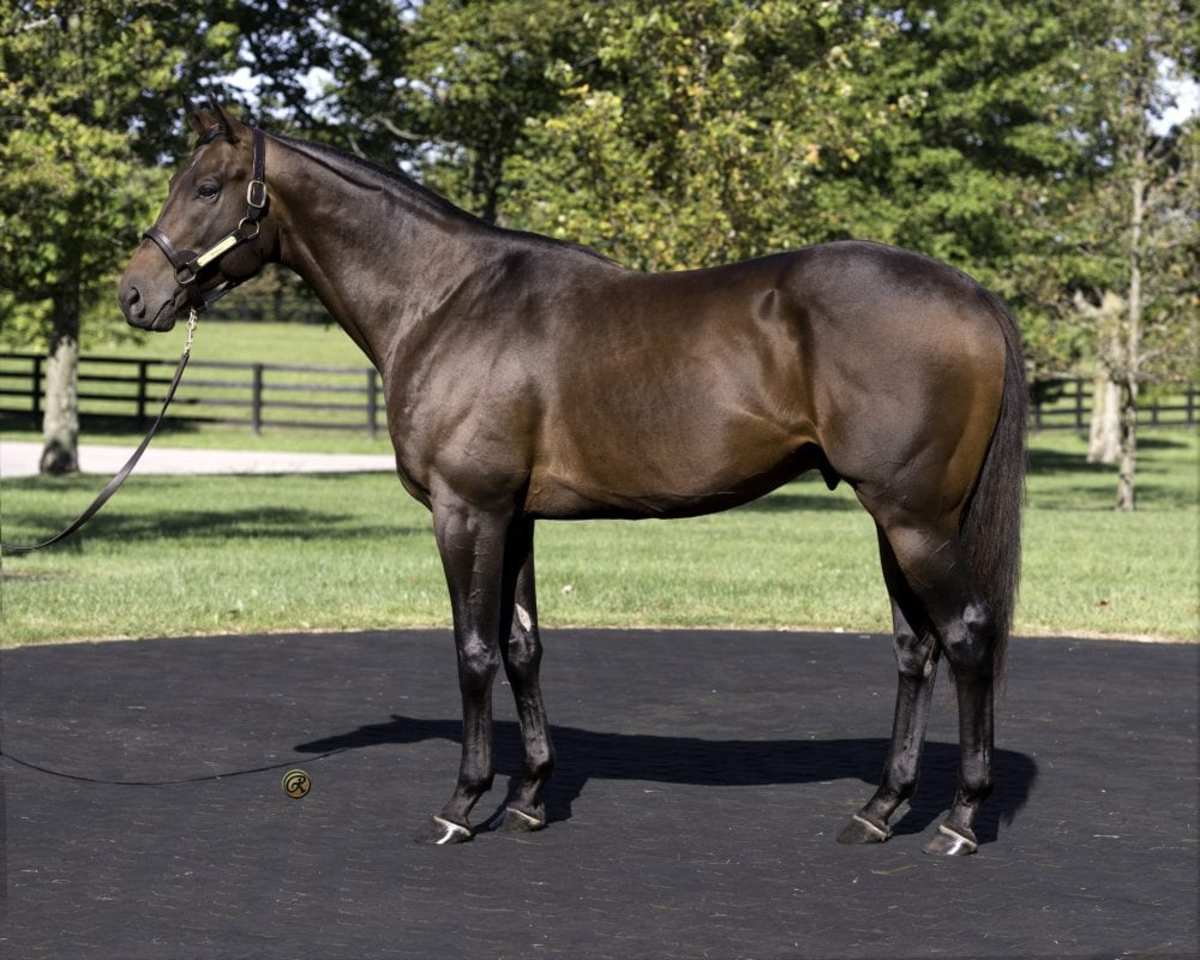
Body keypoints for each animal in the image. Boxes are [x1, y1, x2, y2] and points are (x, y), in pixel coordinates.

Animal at [118, 102, 1025, 856]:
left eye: (206, 187)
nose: (135, 294)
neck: (444, 300)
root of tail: (973, 295)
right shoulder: (513, 517)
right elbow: (523, 648)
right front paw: (527, 799)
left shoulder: (466, 511)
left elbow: (473, 651)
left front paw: (462, 805)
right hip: (894, 520)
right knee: (916, 649)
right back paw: (880, 810)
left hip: (915, 518)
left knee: (967, 635)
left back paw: (960, 820)